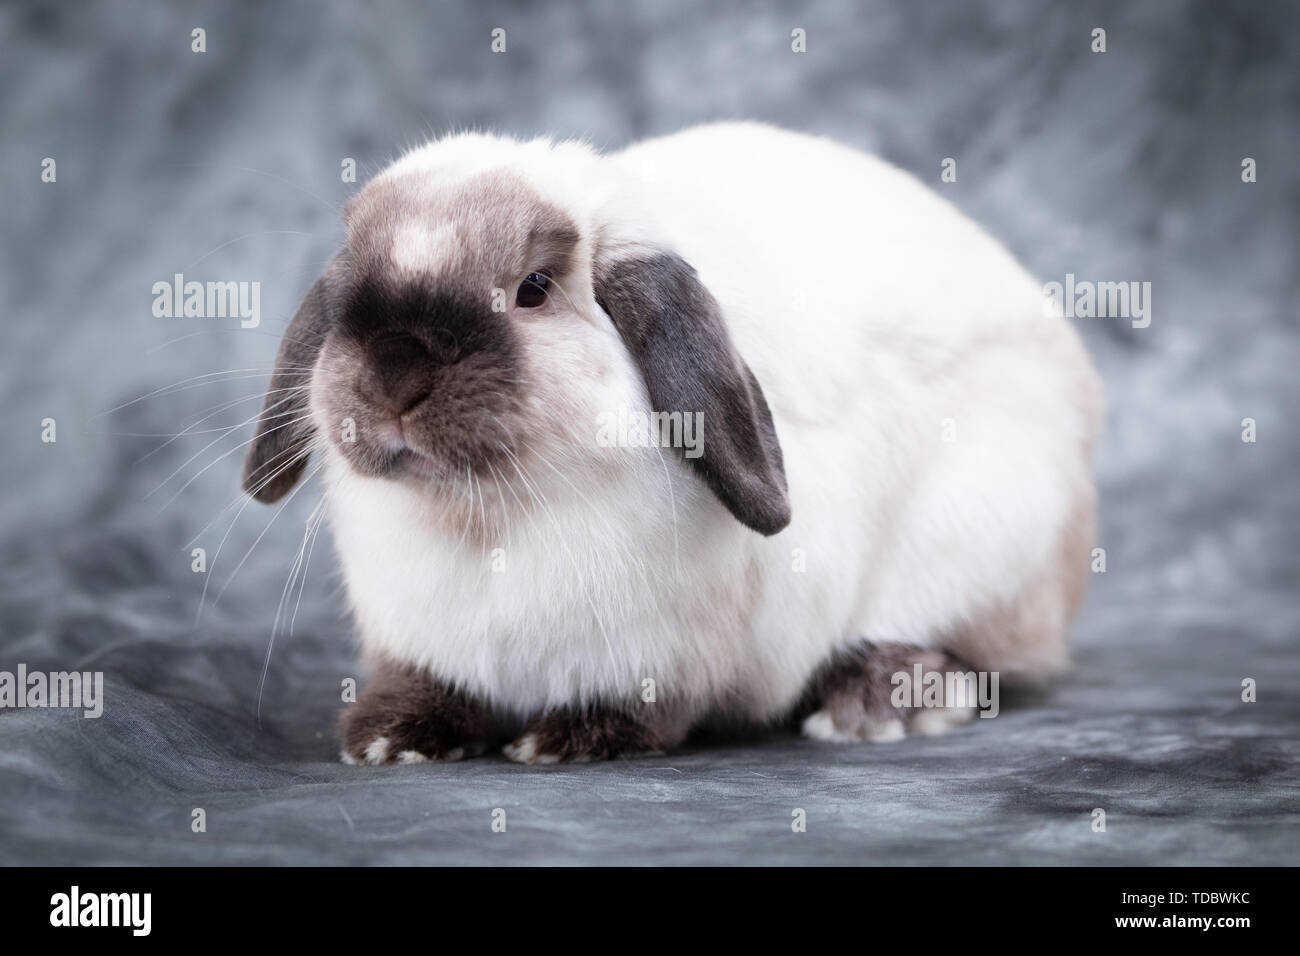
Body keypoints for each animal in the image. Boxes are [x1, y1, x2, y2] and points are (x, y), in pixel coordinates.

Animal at [242, 121, 1102, 764]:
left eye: (533, 289)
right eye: (352, 290)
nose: (395, 370)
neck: (489, 521)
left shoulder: (661, 654)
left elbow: (649, 706)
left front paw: (567, 740)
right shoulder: (419, 639)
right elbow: (427, 686)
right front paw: (388, 737)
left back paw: (877, 703)